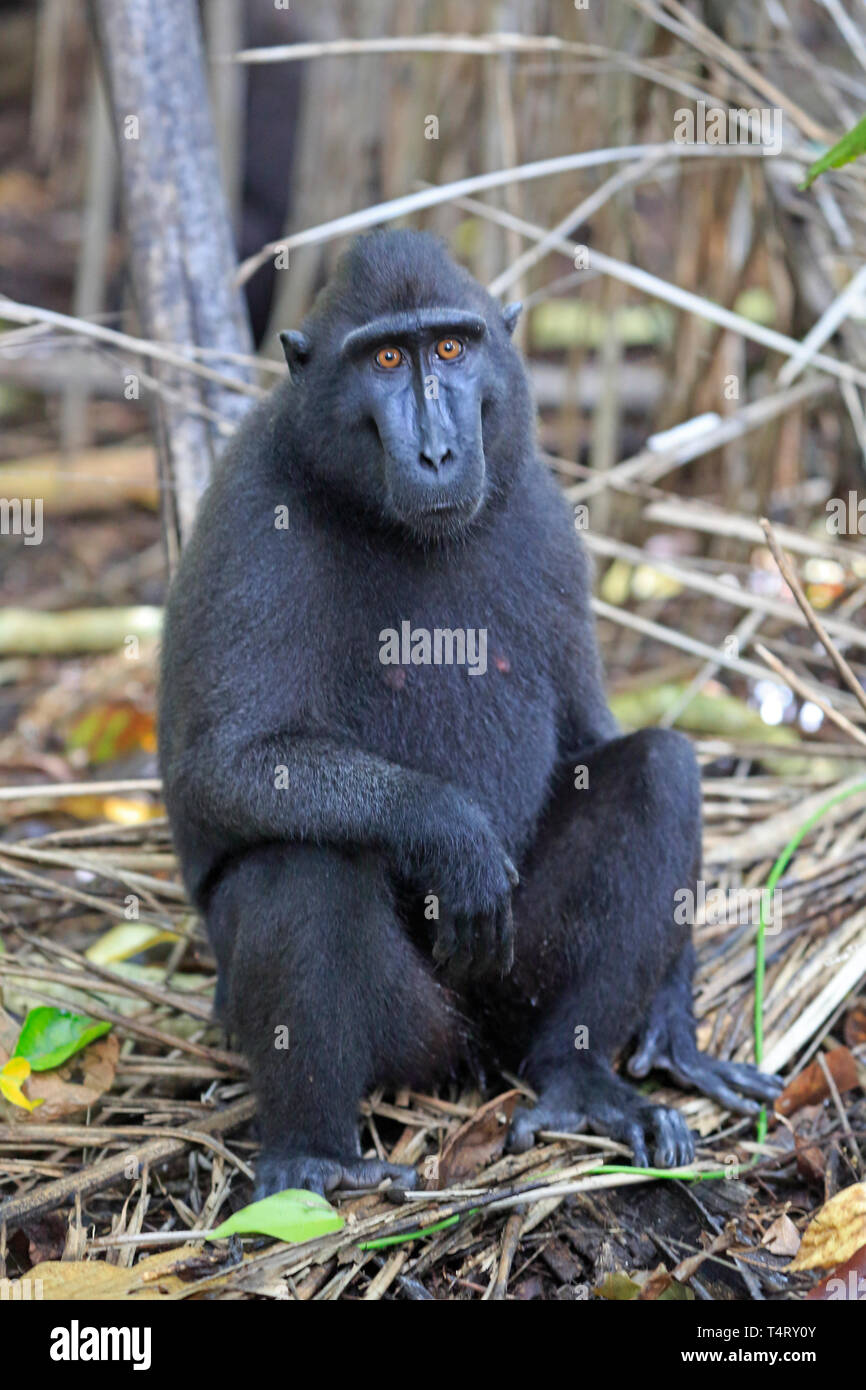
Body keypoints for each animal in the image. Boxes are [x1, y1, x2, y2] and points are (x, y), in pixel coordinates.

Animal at [158, 229, 782, 1197]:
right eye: (385, 359)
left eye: (451, 348)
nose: (439, 454)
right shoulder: (252, 509)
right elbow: (223, 765)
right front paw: (445, 828)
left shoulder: (546, 516)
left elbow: (593, 735)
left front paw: (671, 1014)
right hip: (421, 1031)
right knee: (299, 860)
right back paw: (310, 1154)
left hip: (513, 984)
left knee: (662, 771)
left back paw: (576, 1079)